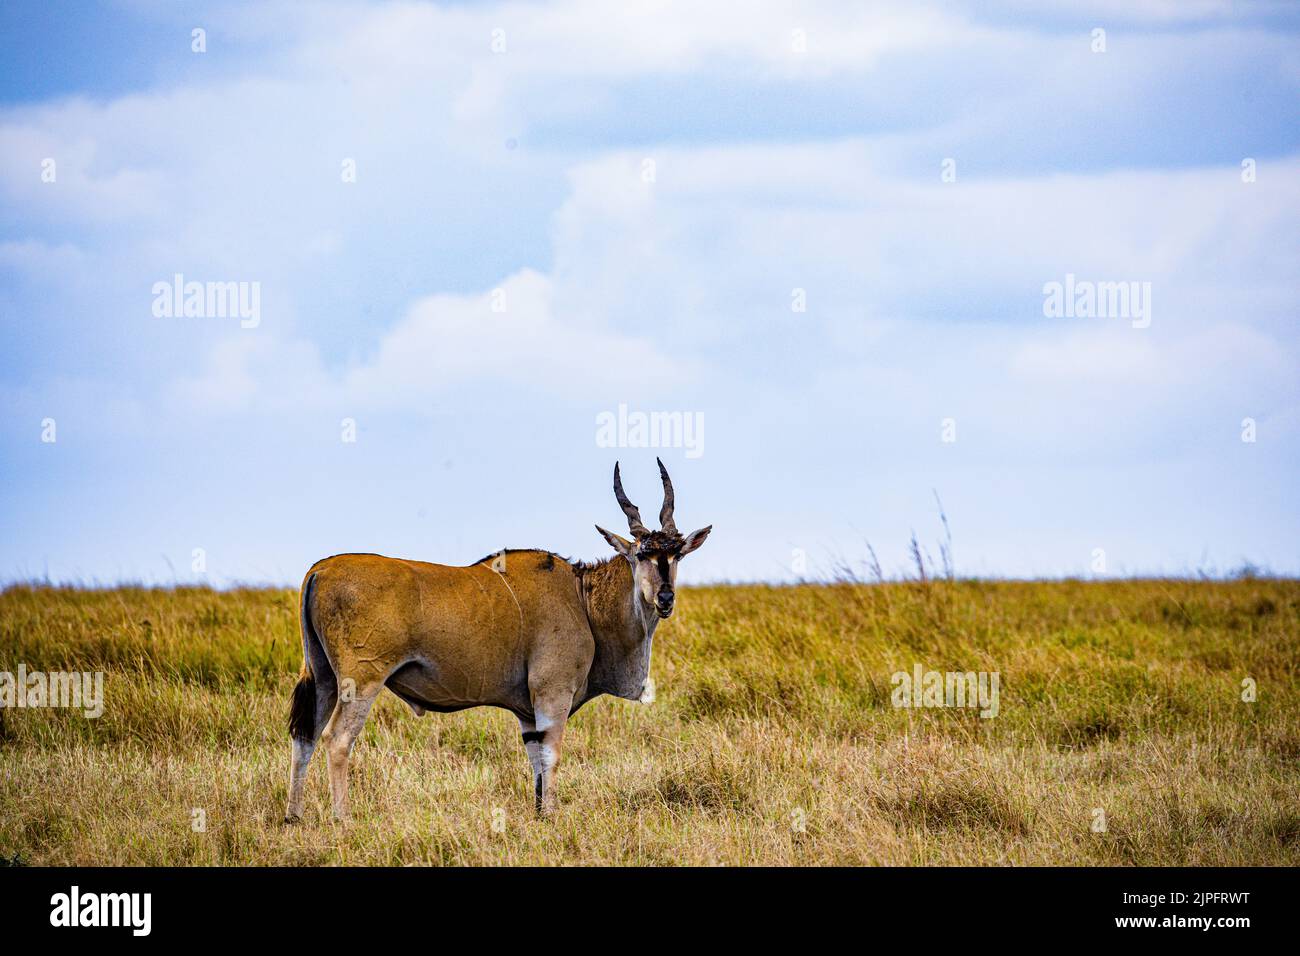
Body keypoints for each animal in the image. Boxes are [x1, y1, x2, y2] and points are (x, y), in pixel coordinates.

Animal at [283, 459, 710, 822]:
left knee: (304, 738)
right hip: (362, 682)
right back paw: (342, 818)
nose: (665, 597)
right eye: (640, 556)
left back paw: (294, 817)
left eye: (676, 556)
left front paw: (539, 814)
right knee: (337, 739)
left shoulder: (528, 714)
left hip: (323, 678)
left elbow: (536, 760)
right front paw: (551, 816)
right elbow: (552, 755)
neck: (582, 597)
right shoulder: (552, 694)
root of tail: (320, 570)